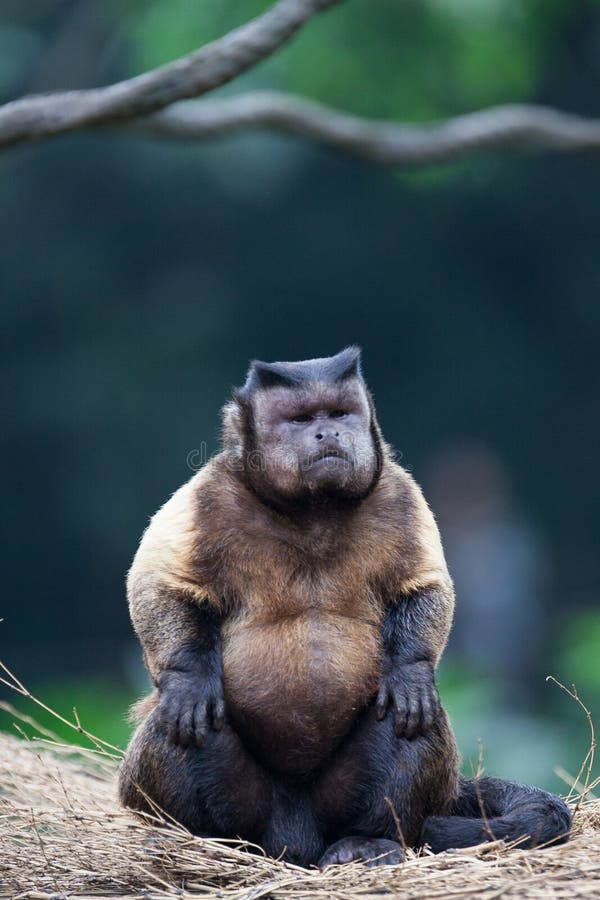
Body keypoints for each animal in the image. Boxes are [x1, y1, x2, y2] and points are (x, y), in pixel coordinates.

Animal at [118, 347, 571, 868]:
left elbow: (425, 586)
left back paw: (368, 838)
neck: (311, 512)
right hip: (249, 811)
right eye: (300, 419)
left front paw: (411, 670)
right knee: (183, 722)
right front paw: (189, 677)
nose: (327, 434)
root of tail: (293, 839)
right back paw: (206, 837)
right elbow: (158, 584)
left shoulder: (397, 492)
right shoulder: (208, 495)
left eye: (338, 414)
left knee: (410, 718)